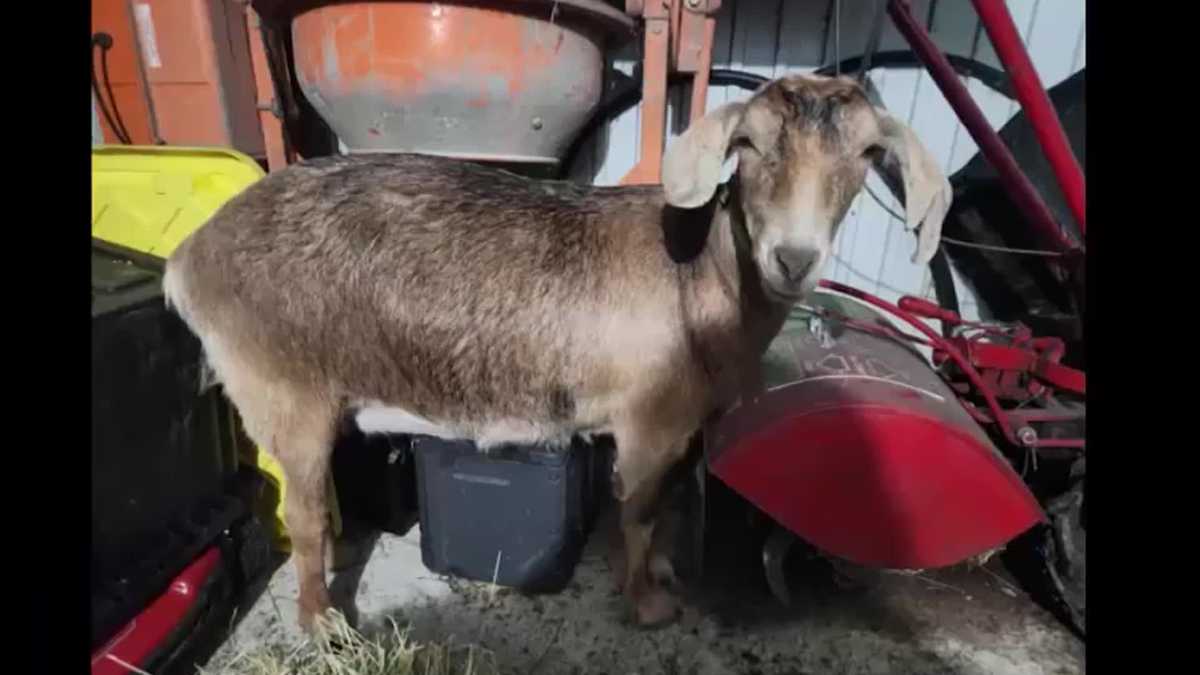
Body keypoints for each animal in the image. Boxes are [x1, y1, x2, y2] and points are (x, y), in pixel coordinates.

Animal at [162, 74, 951, 631]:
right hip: (282, 389)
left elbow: (667, 507)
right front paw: (647, 604)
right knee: (298, 515)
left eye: (867, 155)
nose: (794, 257)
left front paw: (663, 575)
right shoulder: (645, 421)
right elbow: (639, 510)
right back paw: (321, 622)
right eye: (750, 147)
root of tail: (191, 255)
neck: (697, 280)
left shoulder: (681, 426)